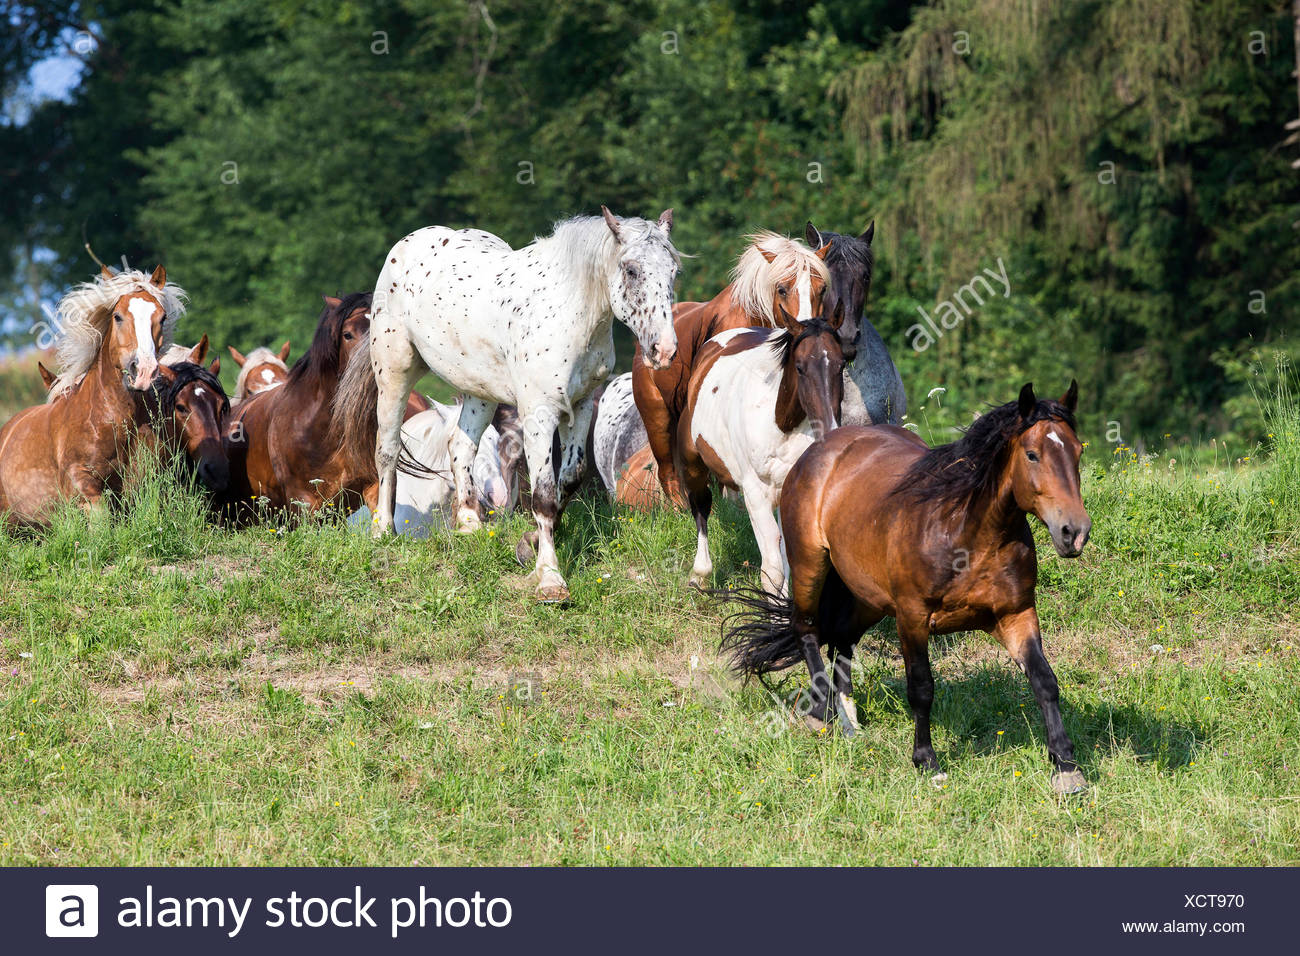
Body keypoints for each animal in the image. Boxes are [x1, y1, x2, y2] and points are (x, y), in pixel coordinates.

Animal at [0, 265, 183, 526]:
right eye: (117, 316)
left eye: (162, 317)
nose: (144, 371)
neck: (116, 420)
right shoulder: (78, 479)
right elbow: (100, 514)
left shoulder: (150, 478)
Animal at [336, 206, 680, 602]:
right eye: (631, 270)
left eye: (673, 271)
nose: (663, 350)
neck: (566, 312)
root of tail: (408, 243)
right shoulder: (539, 416)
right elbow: (544, 495)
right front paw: (550, 578)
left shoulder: (579, 408)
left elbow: (569, 480)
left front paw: (530, 544)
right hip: (394, 371)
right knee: (388, 449)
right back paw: (384, 532)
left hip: (479, 392)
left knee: (461, 445)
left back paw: (469, 524)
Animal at [678, 302, 846, 594]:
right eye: (800, 367)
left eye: (841, 365)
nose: (830, 429)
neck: (781, 427)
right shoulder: (755, 495)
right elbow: (772, 572)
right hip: (694, 467)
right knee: (701, 508)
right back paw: (700, 574)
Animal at [718, 382, 1091, 795]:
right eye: (1032, 454)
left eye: (1078, 450)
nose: (1074, 532)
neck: (966, 533)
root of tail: (819, 451)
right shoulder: (912, 618)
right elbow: (921, 688)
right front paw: (927, 761)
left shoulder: (1016, 613)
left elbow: (1044, 681)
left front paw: (1066, 766)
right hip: (809, 565)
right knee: (807, 629)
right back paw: (822, 713)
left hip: (867, 597)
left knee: (841, 641)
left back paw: (849, 723)